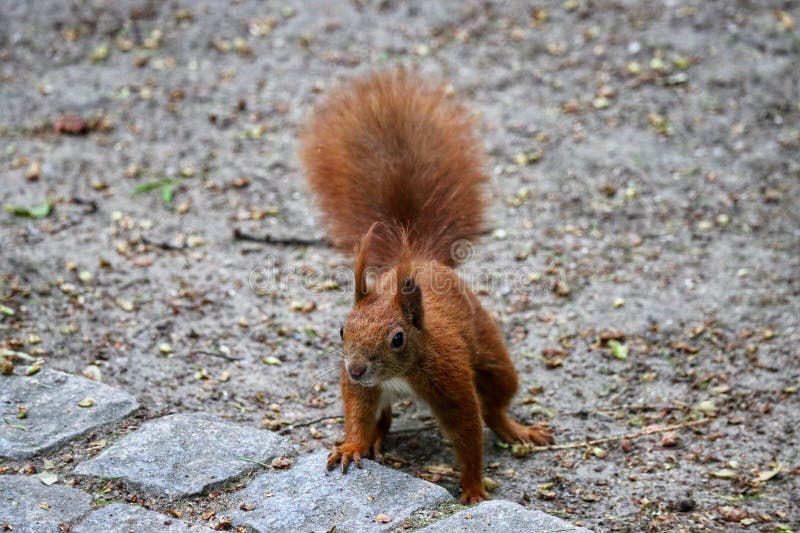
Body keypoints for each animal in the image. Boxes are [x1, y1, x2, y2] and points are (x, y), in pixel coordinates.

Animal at [300, 69, 554, 505]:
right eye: (342, 329)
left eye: (398, 338)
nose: (356, 368)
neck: (401, 375)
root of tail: (421, 258)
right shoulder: (362, 391)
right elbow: (358, 414)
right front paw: (352, 446)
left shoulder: (451, 382)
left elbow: (469, 431)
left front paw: (472, 489)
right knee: (383, 419)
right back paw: (375, 440)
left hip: (491, 354)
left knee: (496, 403)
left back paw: (516, 429)